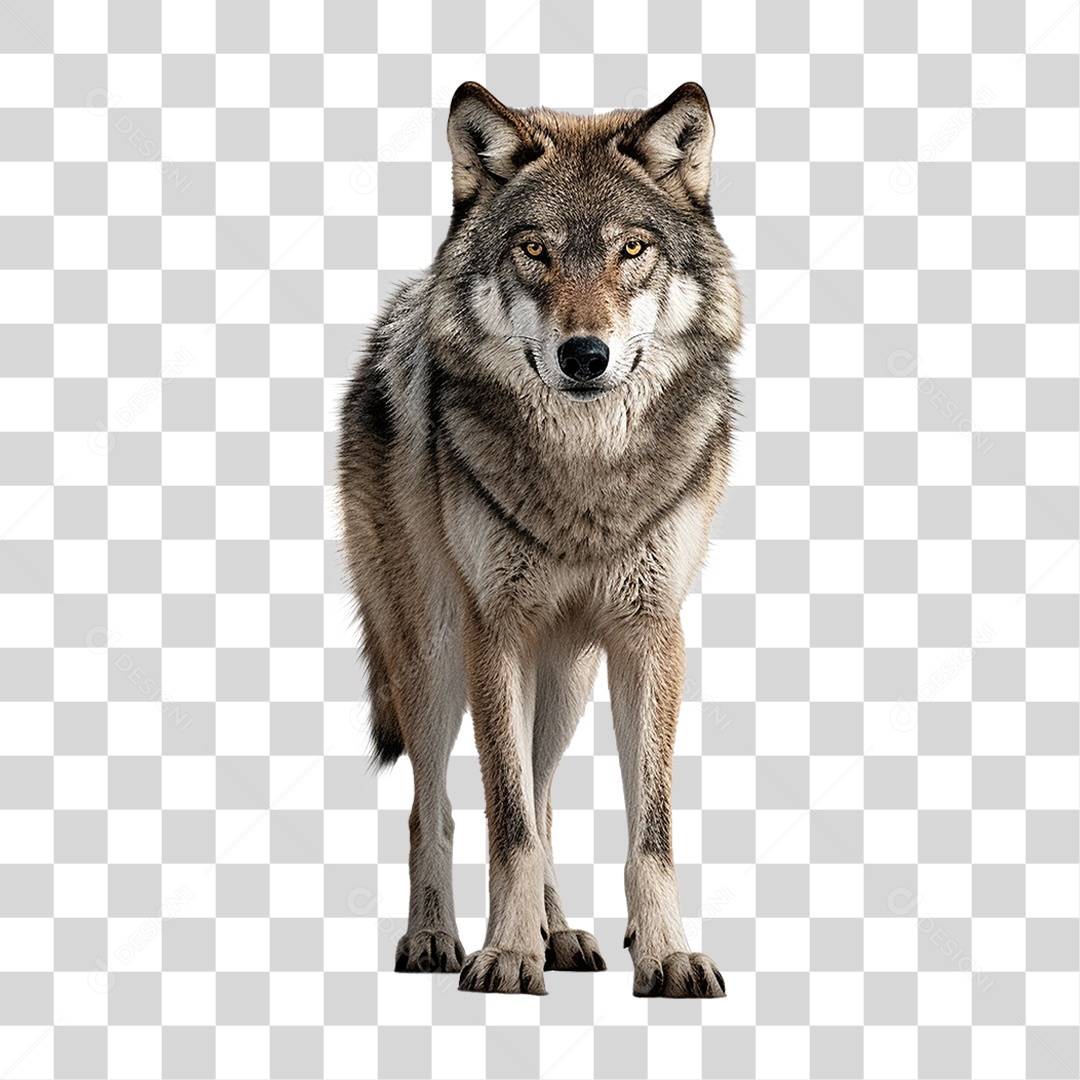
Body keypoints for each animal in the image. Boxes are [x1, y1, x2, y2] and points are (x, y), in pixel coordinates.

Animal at [338, 81, 742, 996]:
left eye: (632, 249)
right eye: (534, 250)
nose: (584, 355)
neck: (584, 473)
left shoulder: (651, 634)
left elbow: (646, 831)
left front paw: (665, 953)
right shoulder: (496, 632)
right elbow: (505, 822)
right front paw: (505, 955)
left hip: (567, 678)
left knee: (548, 792)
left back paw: (563, 935)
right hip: (433, 657)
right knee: (434, 808)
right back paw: (435, 939)